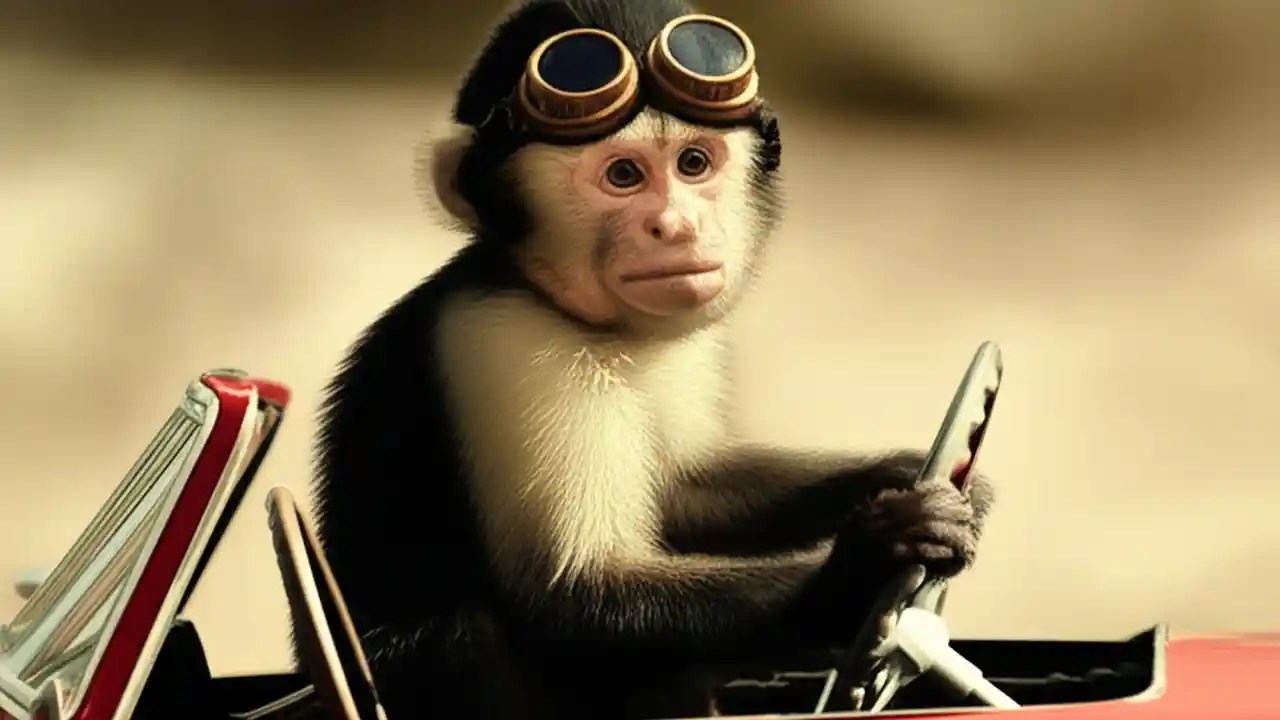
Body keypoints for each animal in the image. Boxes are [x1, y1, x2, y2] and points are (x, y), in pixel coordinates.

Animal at [305, 1, 996, 719]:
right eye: (623, 176)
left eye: (692, 163)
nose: (676, 226)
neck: (586, 319)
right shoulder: (501, 338)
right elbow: (571, 599)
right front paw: (858, 578)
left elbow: (686, 488)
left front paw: (912, 472)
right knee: (463, 630)